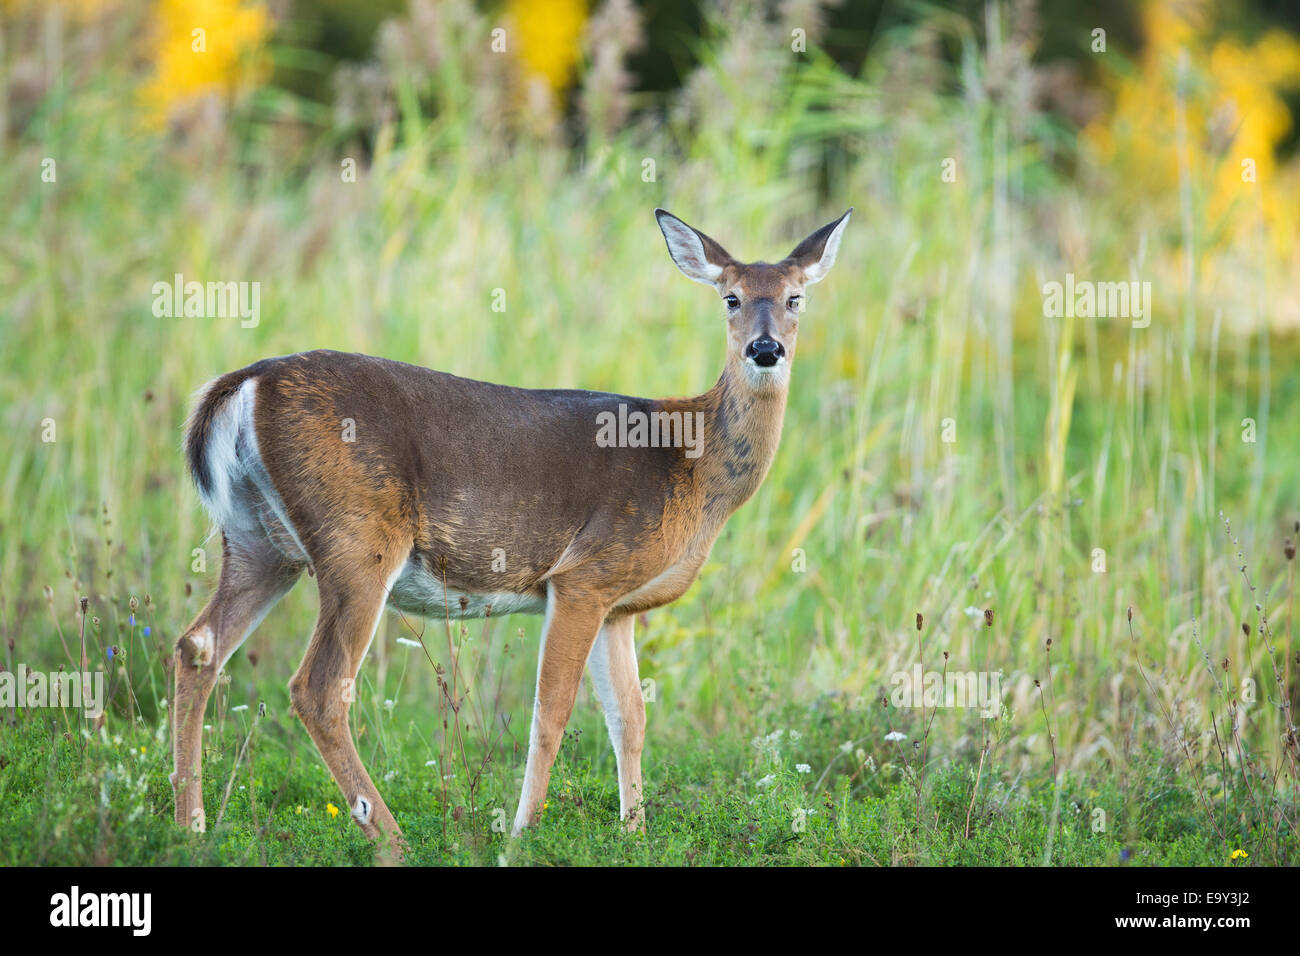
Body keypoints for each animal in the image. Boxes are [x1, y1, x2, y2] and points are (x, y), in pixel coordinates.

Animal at [170, 207, 851, 861]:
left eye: (795, 297)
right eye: (730, 297)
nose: (765, 349)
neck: (689, 461)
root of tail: (247, 382)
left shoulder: (619, 606)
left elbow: (629, 717)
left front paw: (634, 835)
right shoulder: (583, 576)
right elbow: (551, 712)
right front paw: (522, 835)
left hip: (259, 541)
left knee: (198, 645)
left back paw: (190, 829)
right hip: (356, 537)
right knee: (317, 687)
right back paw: (394, 842)